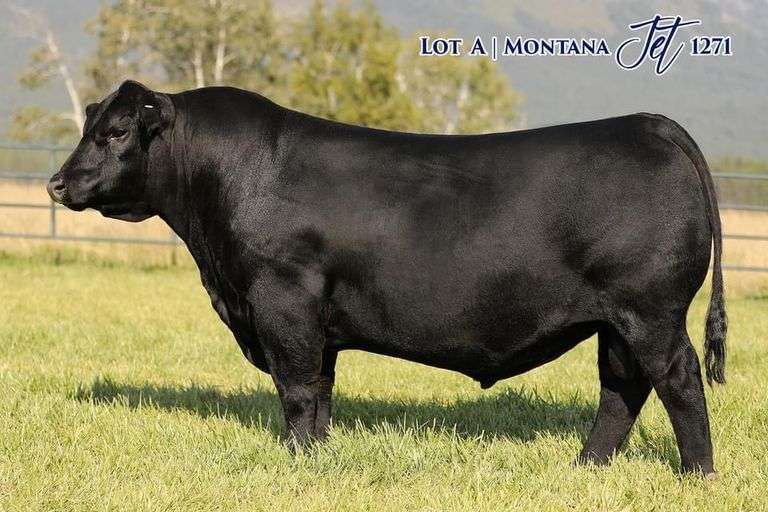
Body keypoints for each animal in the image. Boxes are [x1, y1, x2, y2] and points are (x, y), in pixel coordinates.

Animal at [48, 80, 726, 477]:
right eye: (89, 127)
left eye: (115, 132)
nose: (57, 183)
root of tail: (645, 122)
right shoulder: (314, 319)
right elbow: (321, 388)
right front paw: (317, 456)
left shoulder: (282, 299)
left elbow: (296, 386)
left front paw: (294, 461)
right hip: (617, 321)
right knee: (622, 388)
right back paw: (584, 467)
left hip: (650, 311)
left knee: (677, 379)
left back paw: (697, 473)